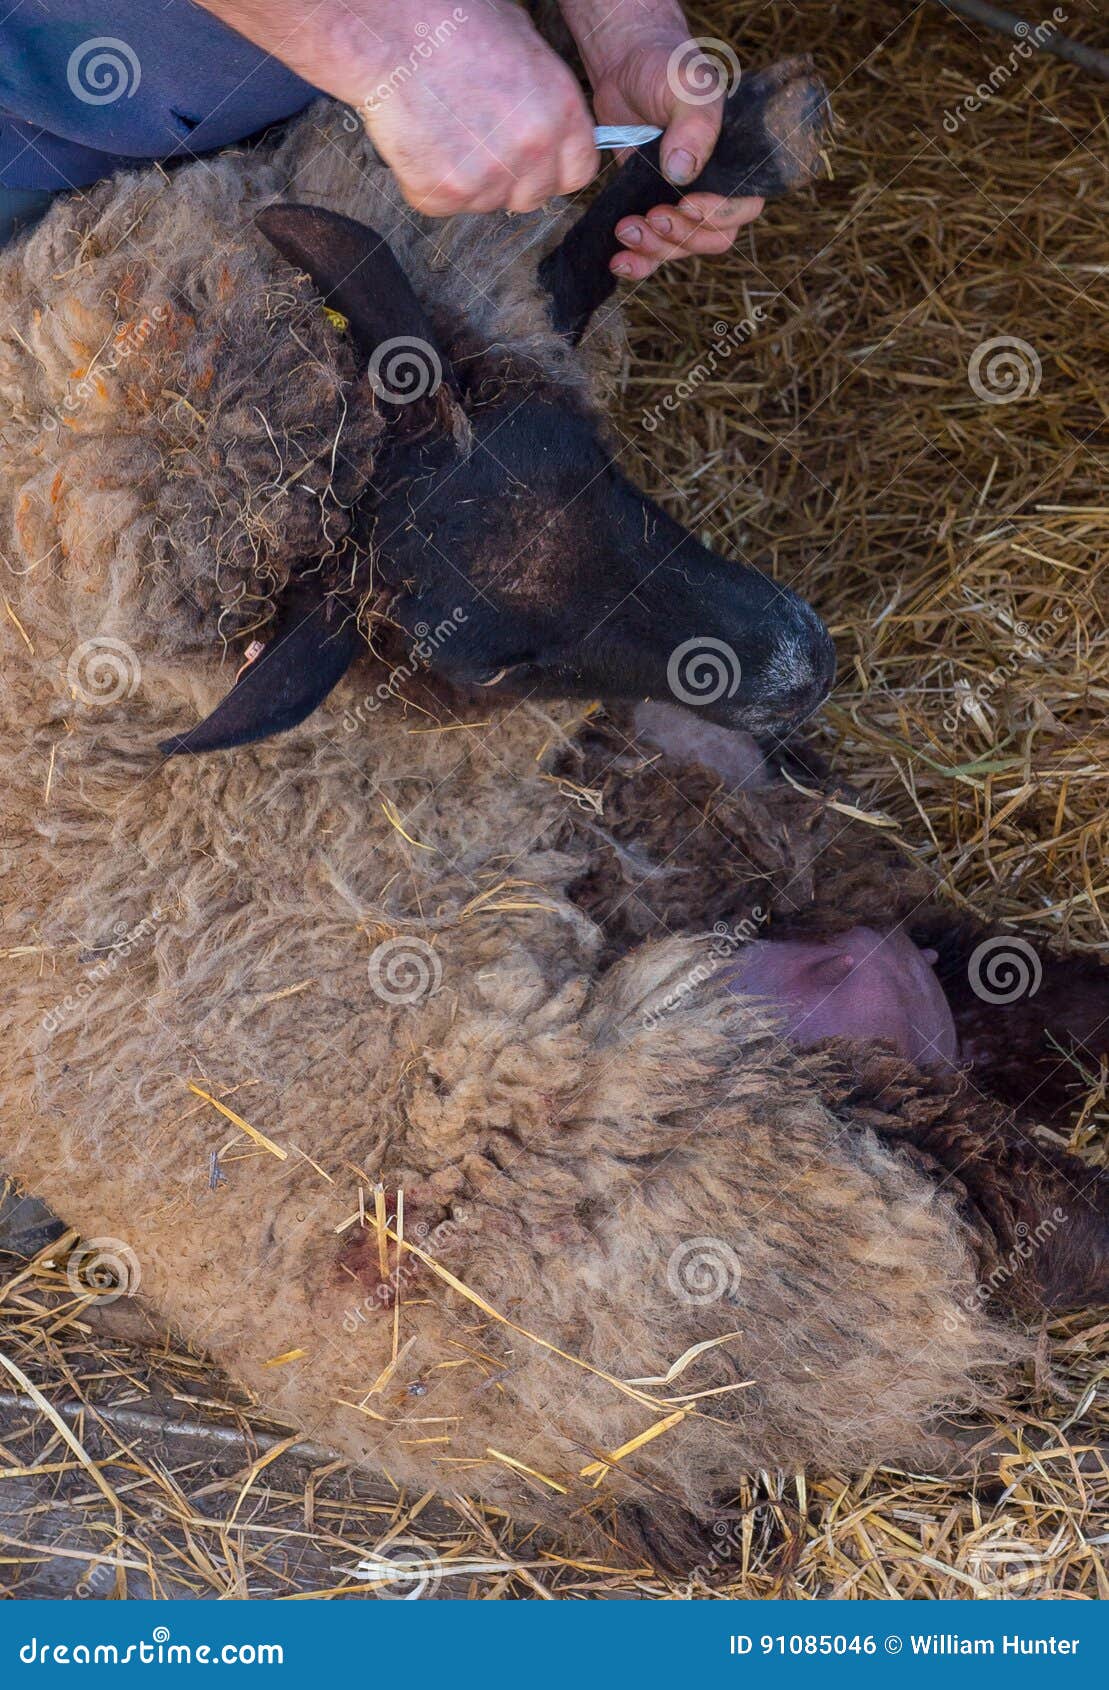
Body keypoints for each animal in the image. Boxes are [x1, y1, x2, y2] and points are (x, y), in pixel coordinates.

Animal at [1, 61, 1106, 1568]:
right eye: (490, 659)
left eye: (592, 456)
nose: (794, 659)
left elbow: (557, 264)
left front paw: (733, 139)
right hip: (739, 1129)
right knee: (1061, 1220)